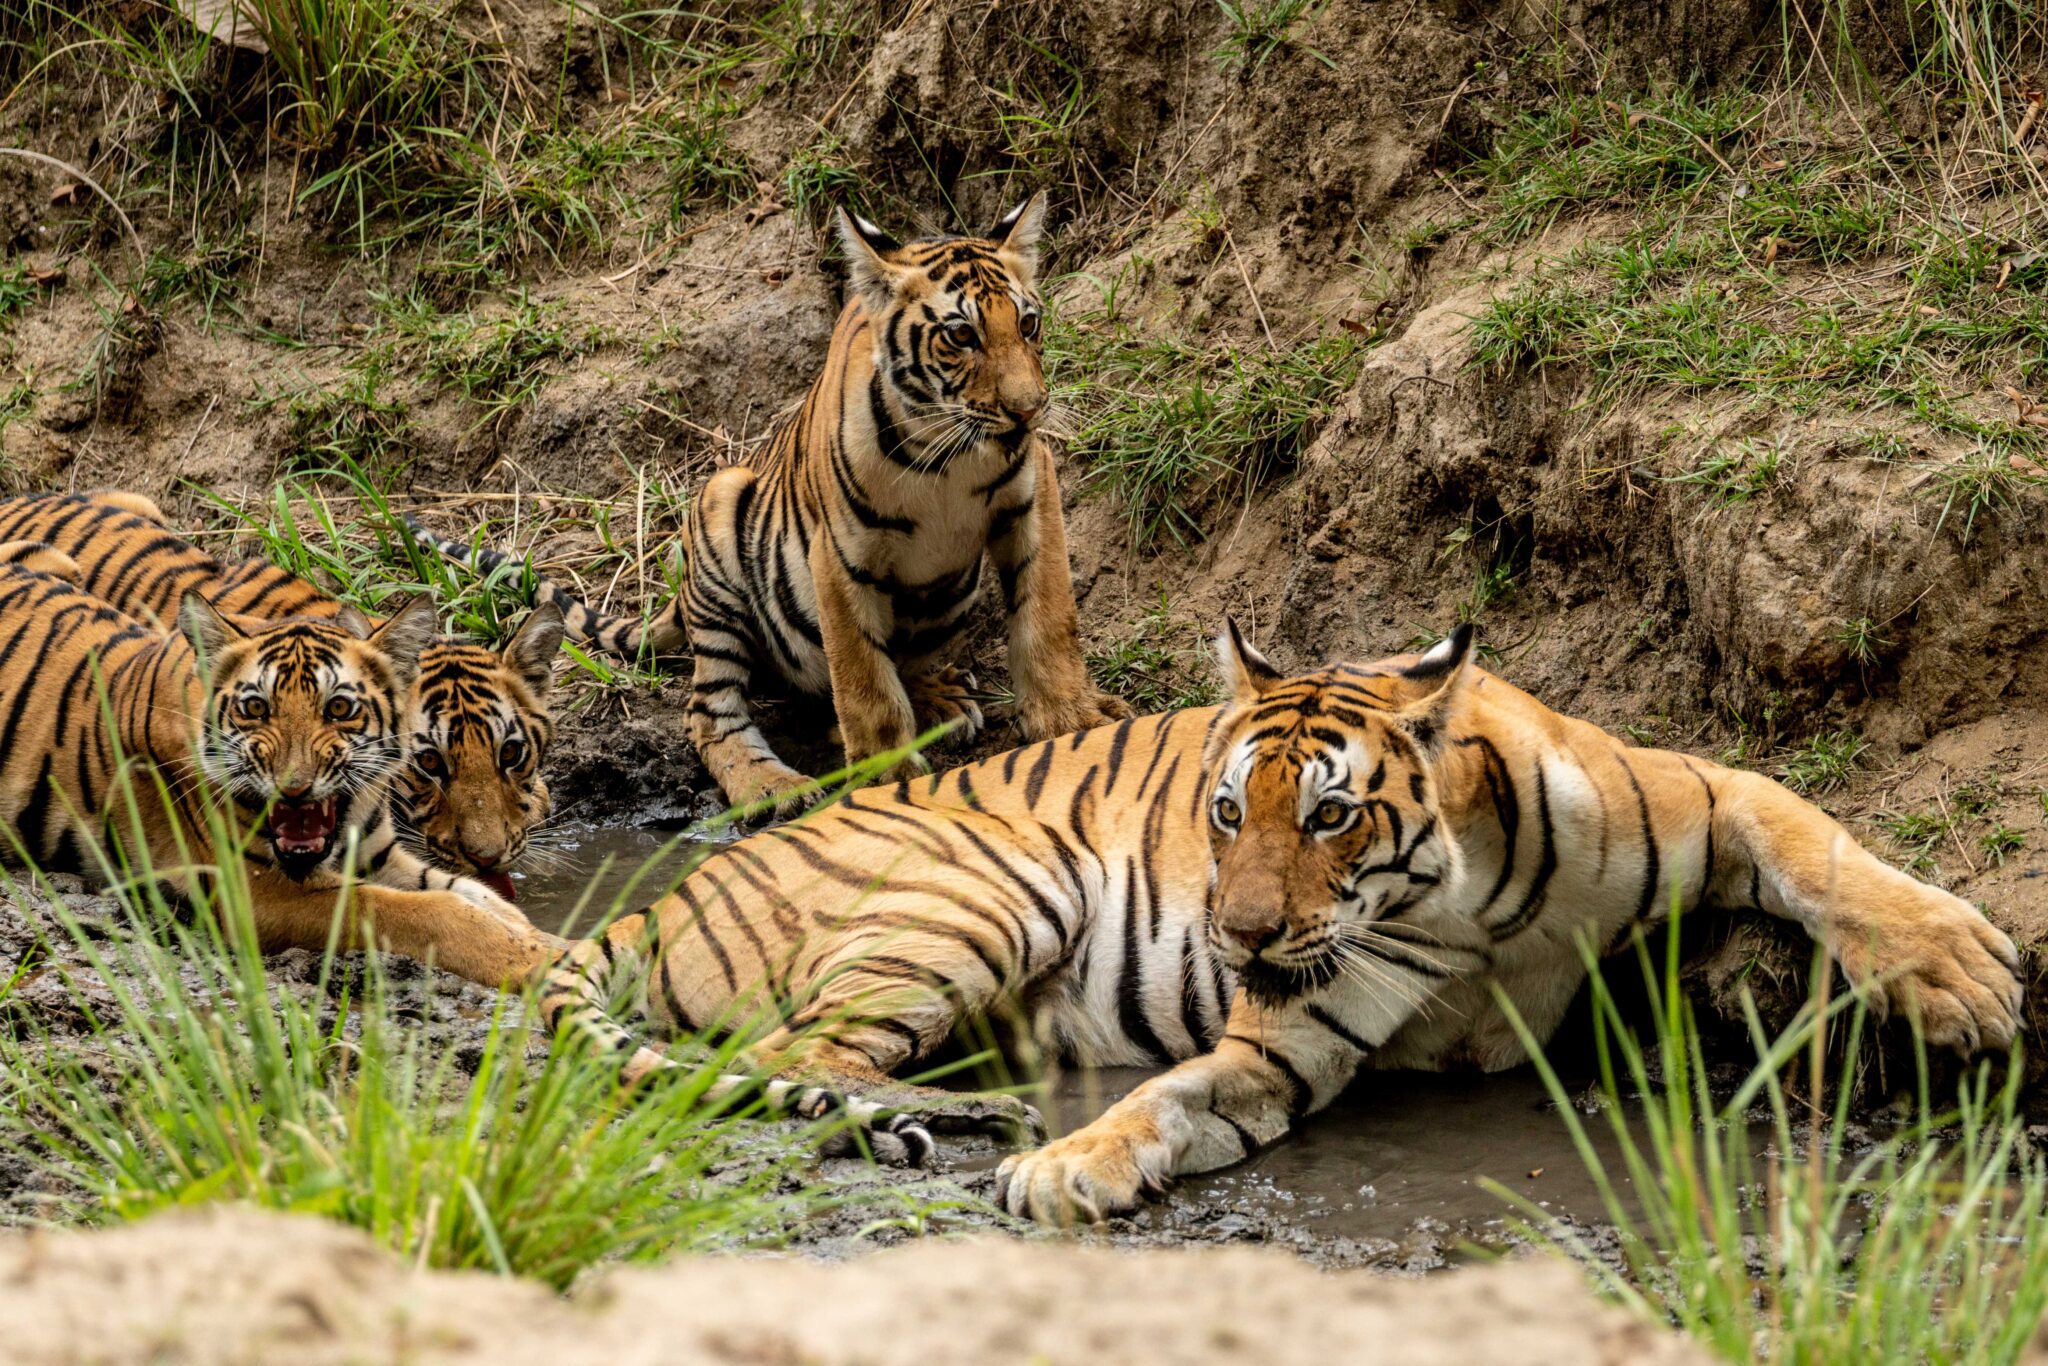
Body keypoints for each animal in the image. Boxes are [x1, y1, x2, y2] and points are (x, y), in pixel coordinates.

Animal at [0, 553, 560, 987]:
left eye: (339, 708)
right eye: (255, 708)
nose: (294, 788)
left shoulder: (381, 856)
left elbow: (475, 895)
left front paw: (550, 942)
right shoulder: (256, 891)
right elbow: (430, 912)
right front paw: (536, 964)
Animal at [410, 192, 1127, 811]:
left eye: (1029, 324)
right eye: (960, 335)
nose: (1029, 410)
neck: (947, 455)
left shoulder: (1033, 497)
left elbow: (1048, 619)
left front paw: (1073, 720)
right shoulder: (840, 556)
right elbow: (864, 682)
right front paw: (885, 774)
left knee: (902, 663)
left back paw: (939, 699)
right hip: (722, 518)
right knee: (709, 714)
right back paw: (772, 786)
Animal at [535, 620, 2021, 1216]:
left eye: (1329, 816)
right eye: (1221, 811)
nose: (1240, 938)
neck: (1465, 900)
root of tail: (666, 892)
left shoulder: (1703, 792)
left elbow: (1822, 845)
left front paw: (1963, 974)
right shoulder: (1284, 1035)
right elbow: (1164, 1098)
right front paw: (1062, 1168)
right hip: (984, 883)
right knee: (785, 1053)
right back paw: (953, 1119)